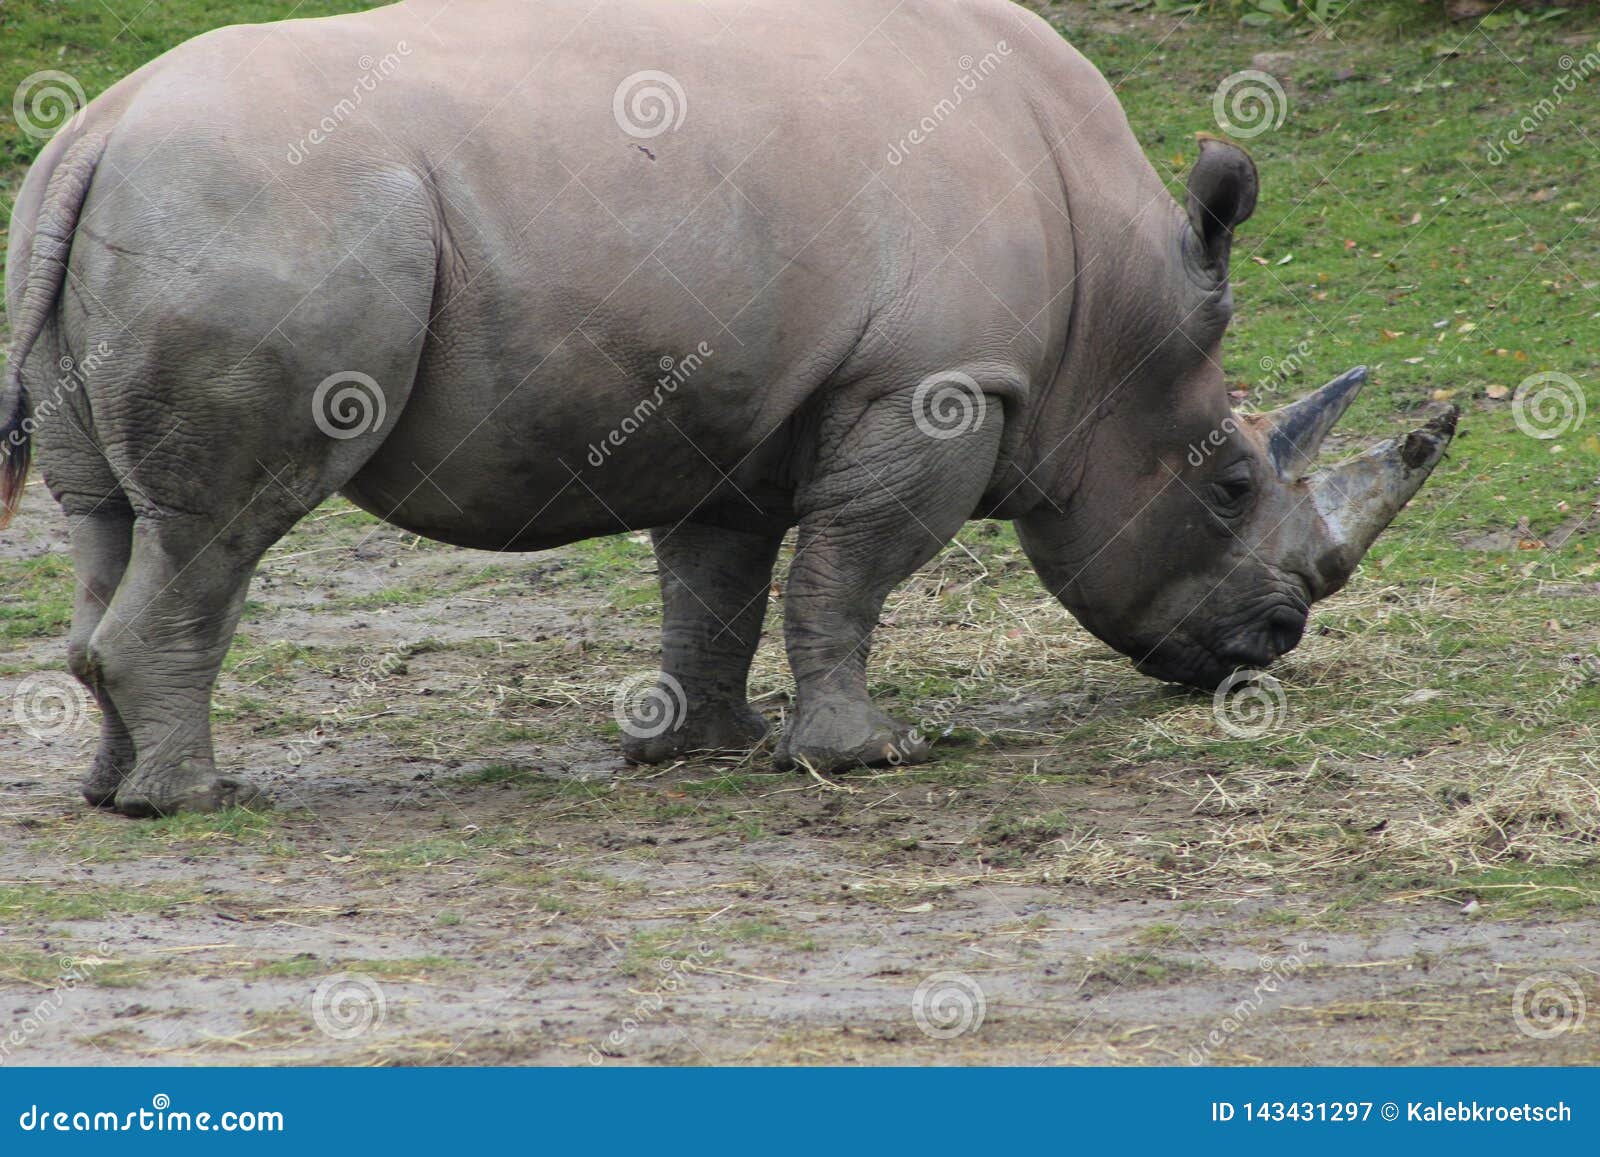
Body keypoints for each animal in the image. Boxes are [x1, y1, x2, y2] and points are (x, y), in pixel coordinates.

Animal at [1, 0, 1455, 816]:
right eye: (1228, 485)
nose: (1271, 641)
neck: (1111, 319)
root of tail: (93, 131)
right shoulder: (937, 382)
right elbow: (849, 571)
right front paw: (869, 758)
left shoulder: (750, 397)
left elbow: (722, 579)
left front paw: (707, 749)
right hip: (265, 217)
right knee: (219, 529)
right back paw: (198, 801)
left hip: (142, 216)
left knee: (109, 518)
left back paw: (113, 787)